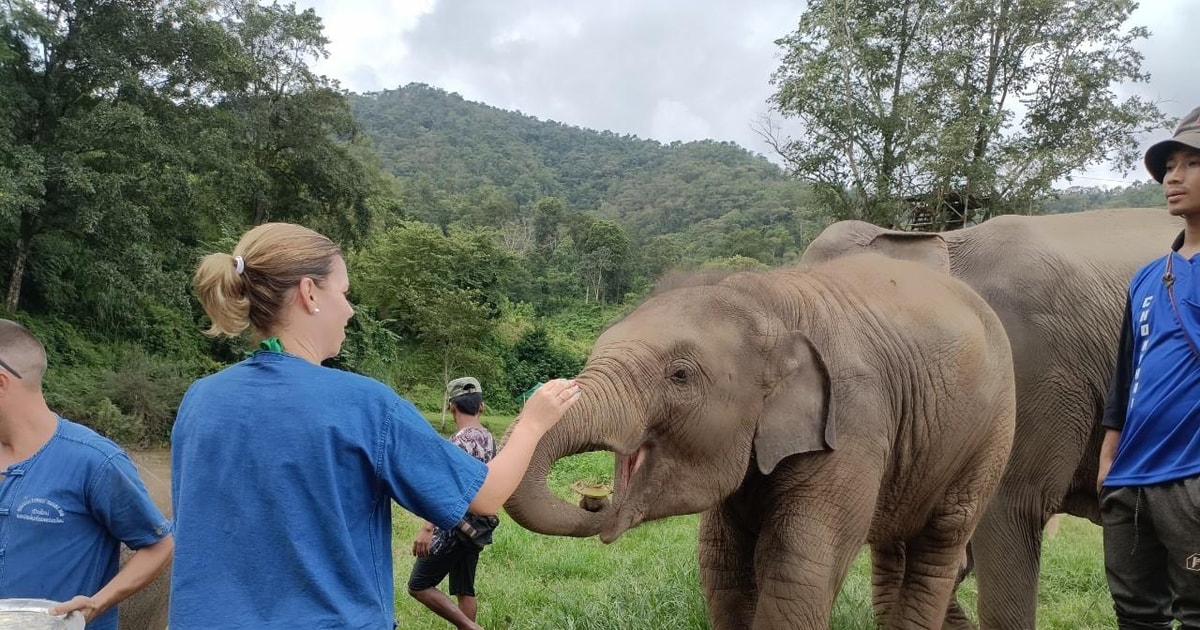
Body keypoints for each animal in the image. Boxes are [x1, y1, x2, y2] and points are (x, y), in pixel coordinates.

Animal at [504, 252, 1018, 629]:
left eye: (680, 375)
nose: (594, 500)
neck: (769, 302)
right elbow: (721, 563)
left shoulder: (854, 421)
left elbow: (795, 565)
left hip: (995, 430)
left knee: (941, 544)